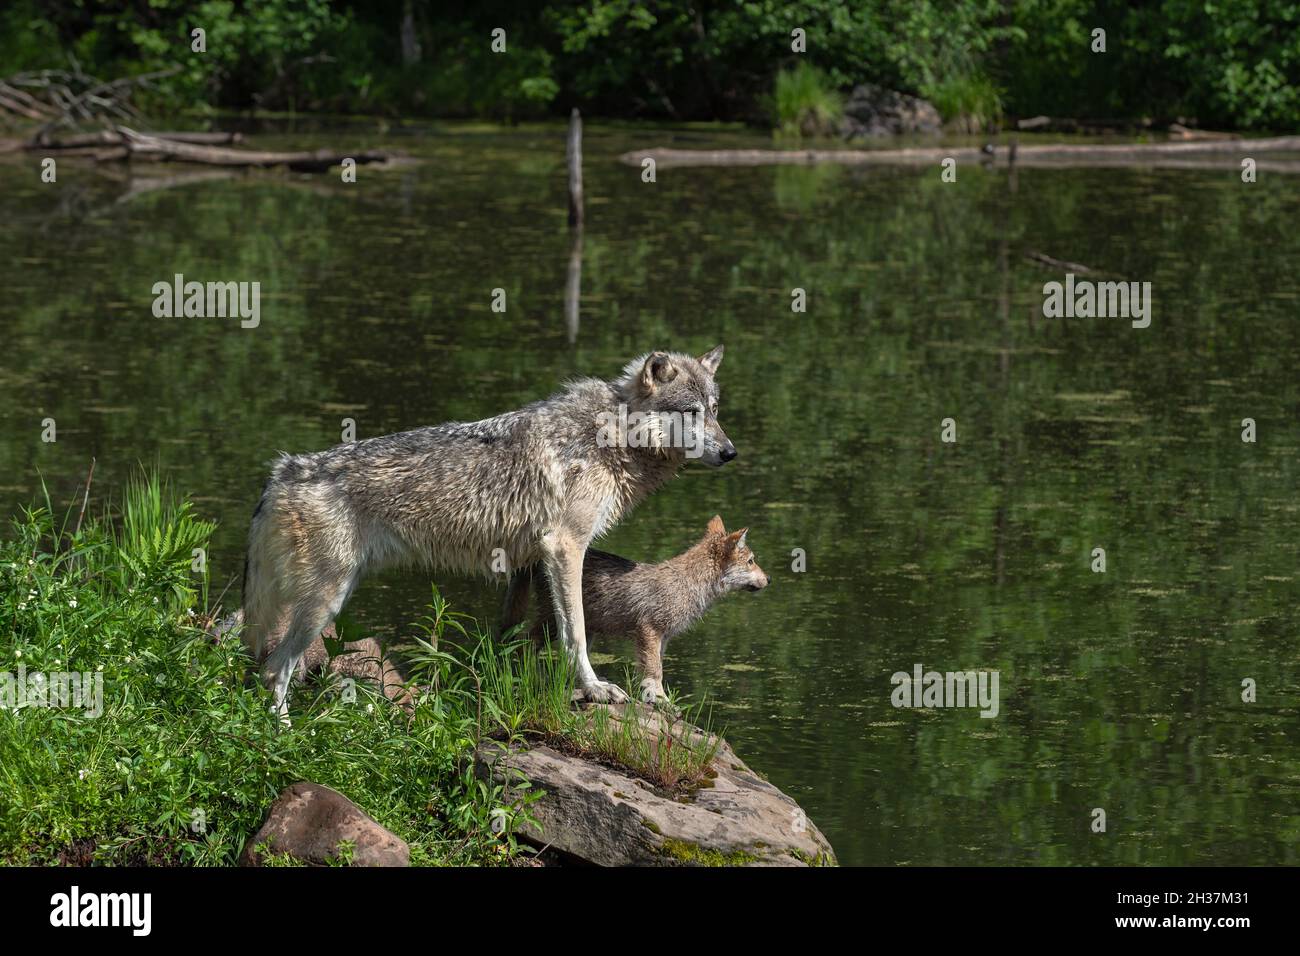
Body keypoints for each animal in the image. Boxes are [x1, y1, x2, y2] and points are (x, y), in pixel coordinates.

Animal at [242, 345, 734, 714]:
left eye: (713, 411)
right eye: (690, 413)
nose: (731, 452)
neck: (610, 435)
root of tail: (282, 472)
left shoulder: (528, 565)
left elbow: (513, 639)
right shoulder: (565, 548)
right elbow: (575, 633)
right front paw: (595, 689)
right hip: (324, 603)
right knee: (274, 669)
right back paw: (286, 739)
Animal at [503, 515, 768, 704]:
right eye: (751, 561)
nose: (770, 579)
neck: (688, 584)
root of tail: (535, 560)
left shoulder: (662, 638)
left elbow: (653, 669)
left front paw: (652, 696)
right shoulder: (648, 630)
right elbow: (655, 670)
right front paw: (660, 699)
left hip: (586, 630)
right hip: (554, 624)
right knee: (524, 645)